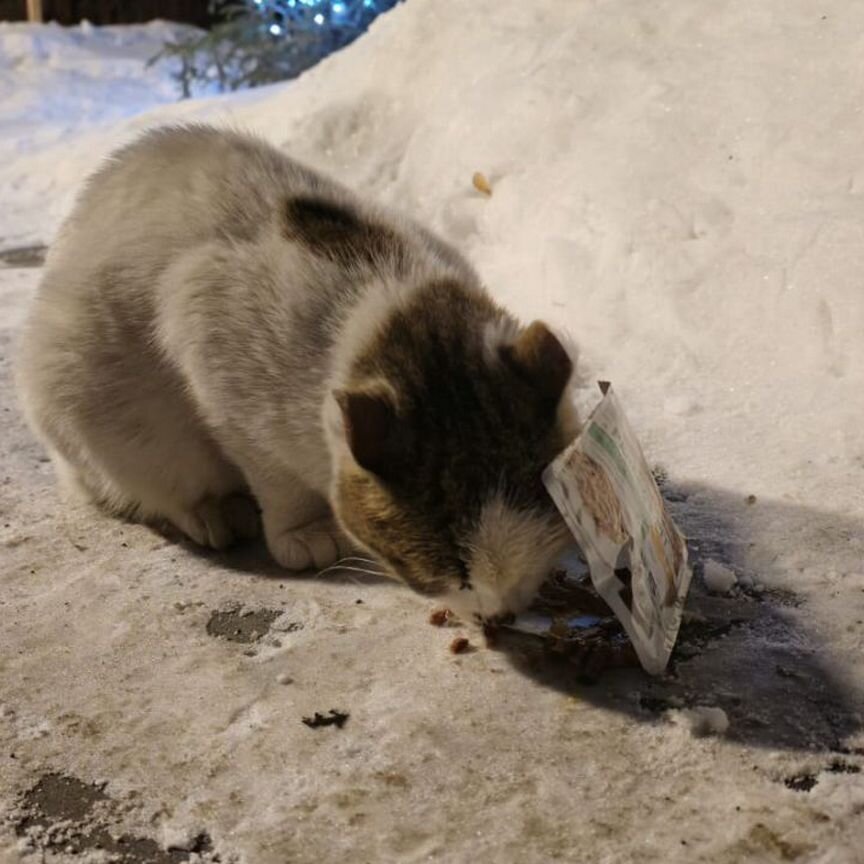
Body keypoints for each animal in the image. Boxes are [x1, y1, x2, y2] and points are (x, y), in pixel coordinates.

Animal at [15, 123, 580, 620]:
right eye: (455, 571)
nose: (502, 612)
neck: (386, 298)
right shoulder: (211, 354)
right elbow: (276, 476)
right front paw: (303, 531)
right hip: (93, 416)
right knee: (148, 486)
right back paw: (213, 512)